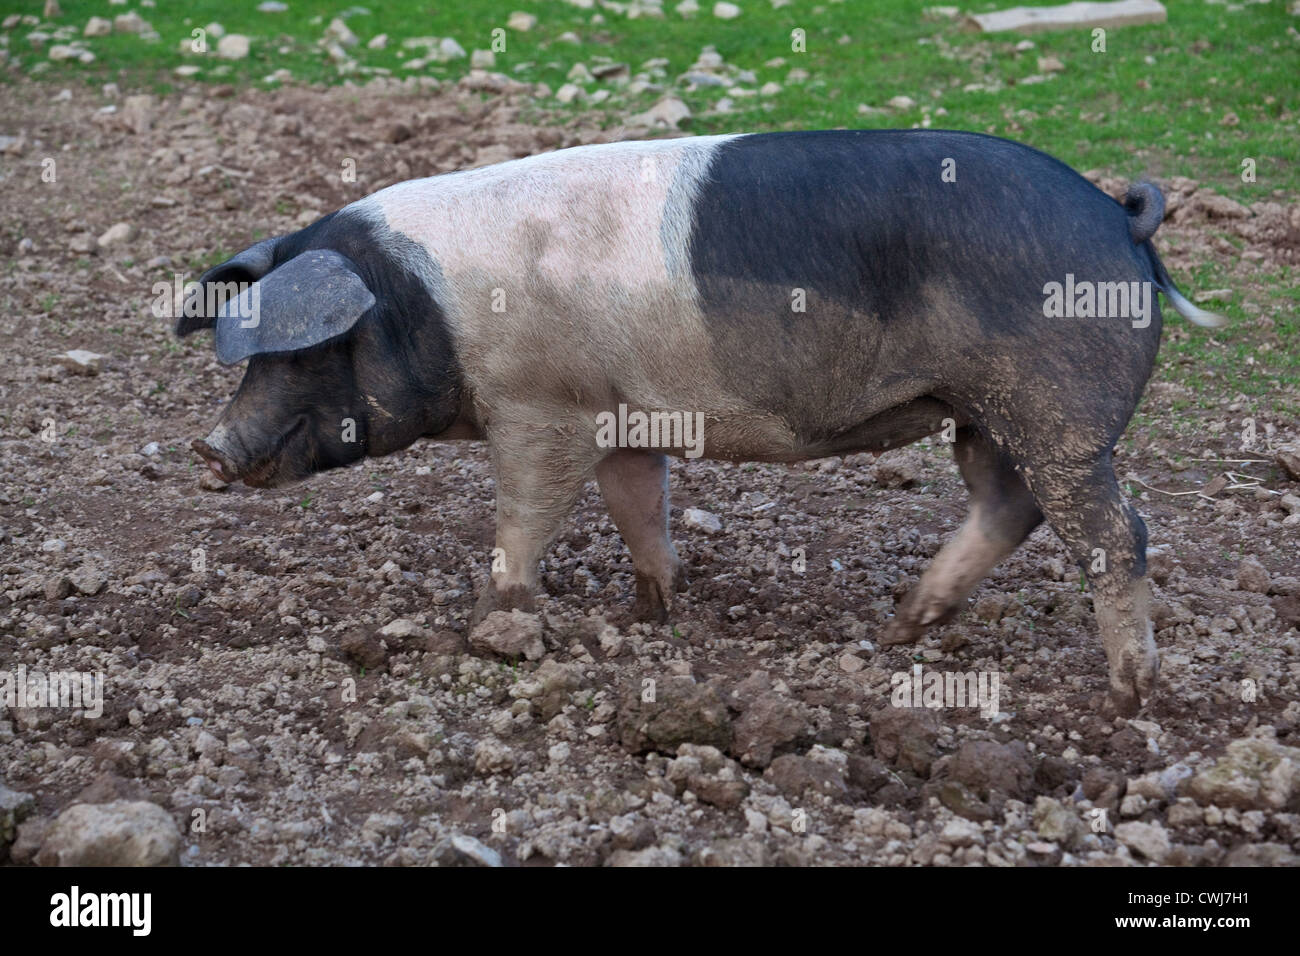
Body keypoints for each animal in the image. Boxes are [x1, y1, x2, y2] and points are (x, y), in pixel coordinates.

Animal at [177, 130, 1223, 717]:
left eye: (305, 350)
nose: (208, 450)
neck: (421, 302)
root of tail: (1118, 217)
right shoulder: (620, 414)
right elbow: (639, 506)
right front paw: (653, 612)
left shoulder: (541, 406)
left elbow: (525, 516)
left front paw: (491, 631)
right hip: (981, 416)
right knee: (1010, 504)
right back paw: (898, 630)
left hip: (1054, 405)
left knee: (1114, 530)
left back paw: (1129, 700)